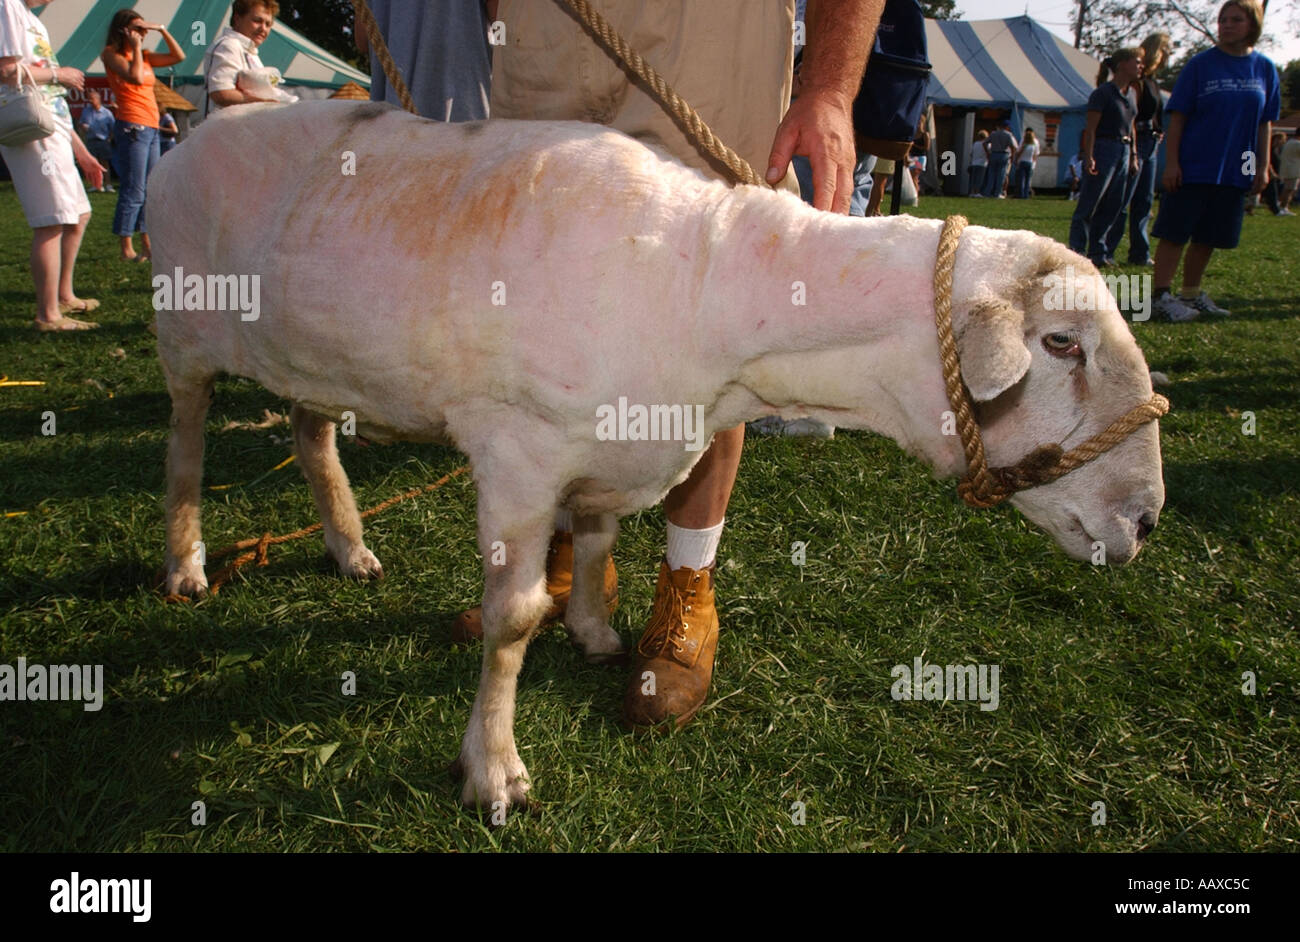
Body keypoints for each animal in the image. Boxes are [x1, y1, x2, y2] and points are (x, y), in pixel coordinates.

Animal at [151, 101, 1165, 812]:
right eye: (1064, 345)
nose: (1146, 519)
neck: (709, 284)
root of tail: (199, 129)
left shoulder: (613, 444)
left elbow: (597, 539)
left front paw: (598, 631)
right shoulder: (520, 450)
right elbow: (511, 620)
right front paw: (494, 770)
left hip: (308, 355)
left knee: (310, 434)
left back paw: (350, 546)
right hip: (185, 334)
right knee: (186, 450)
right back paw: (187, 563)